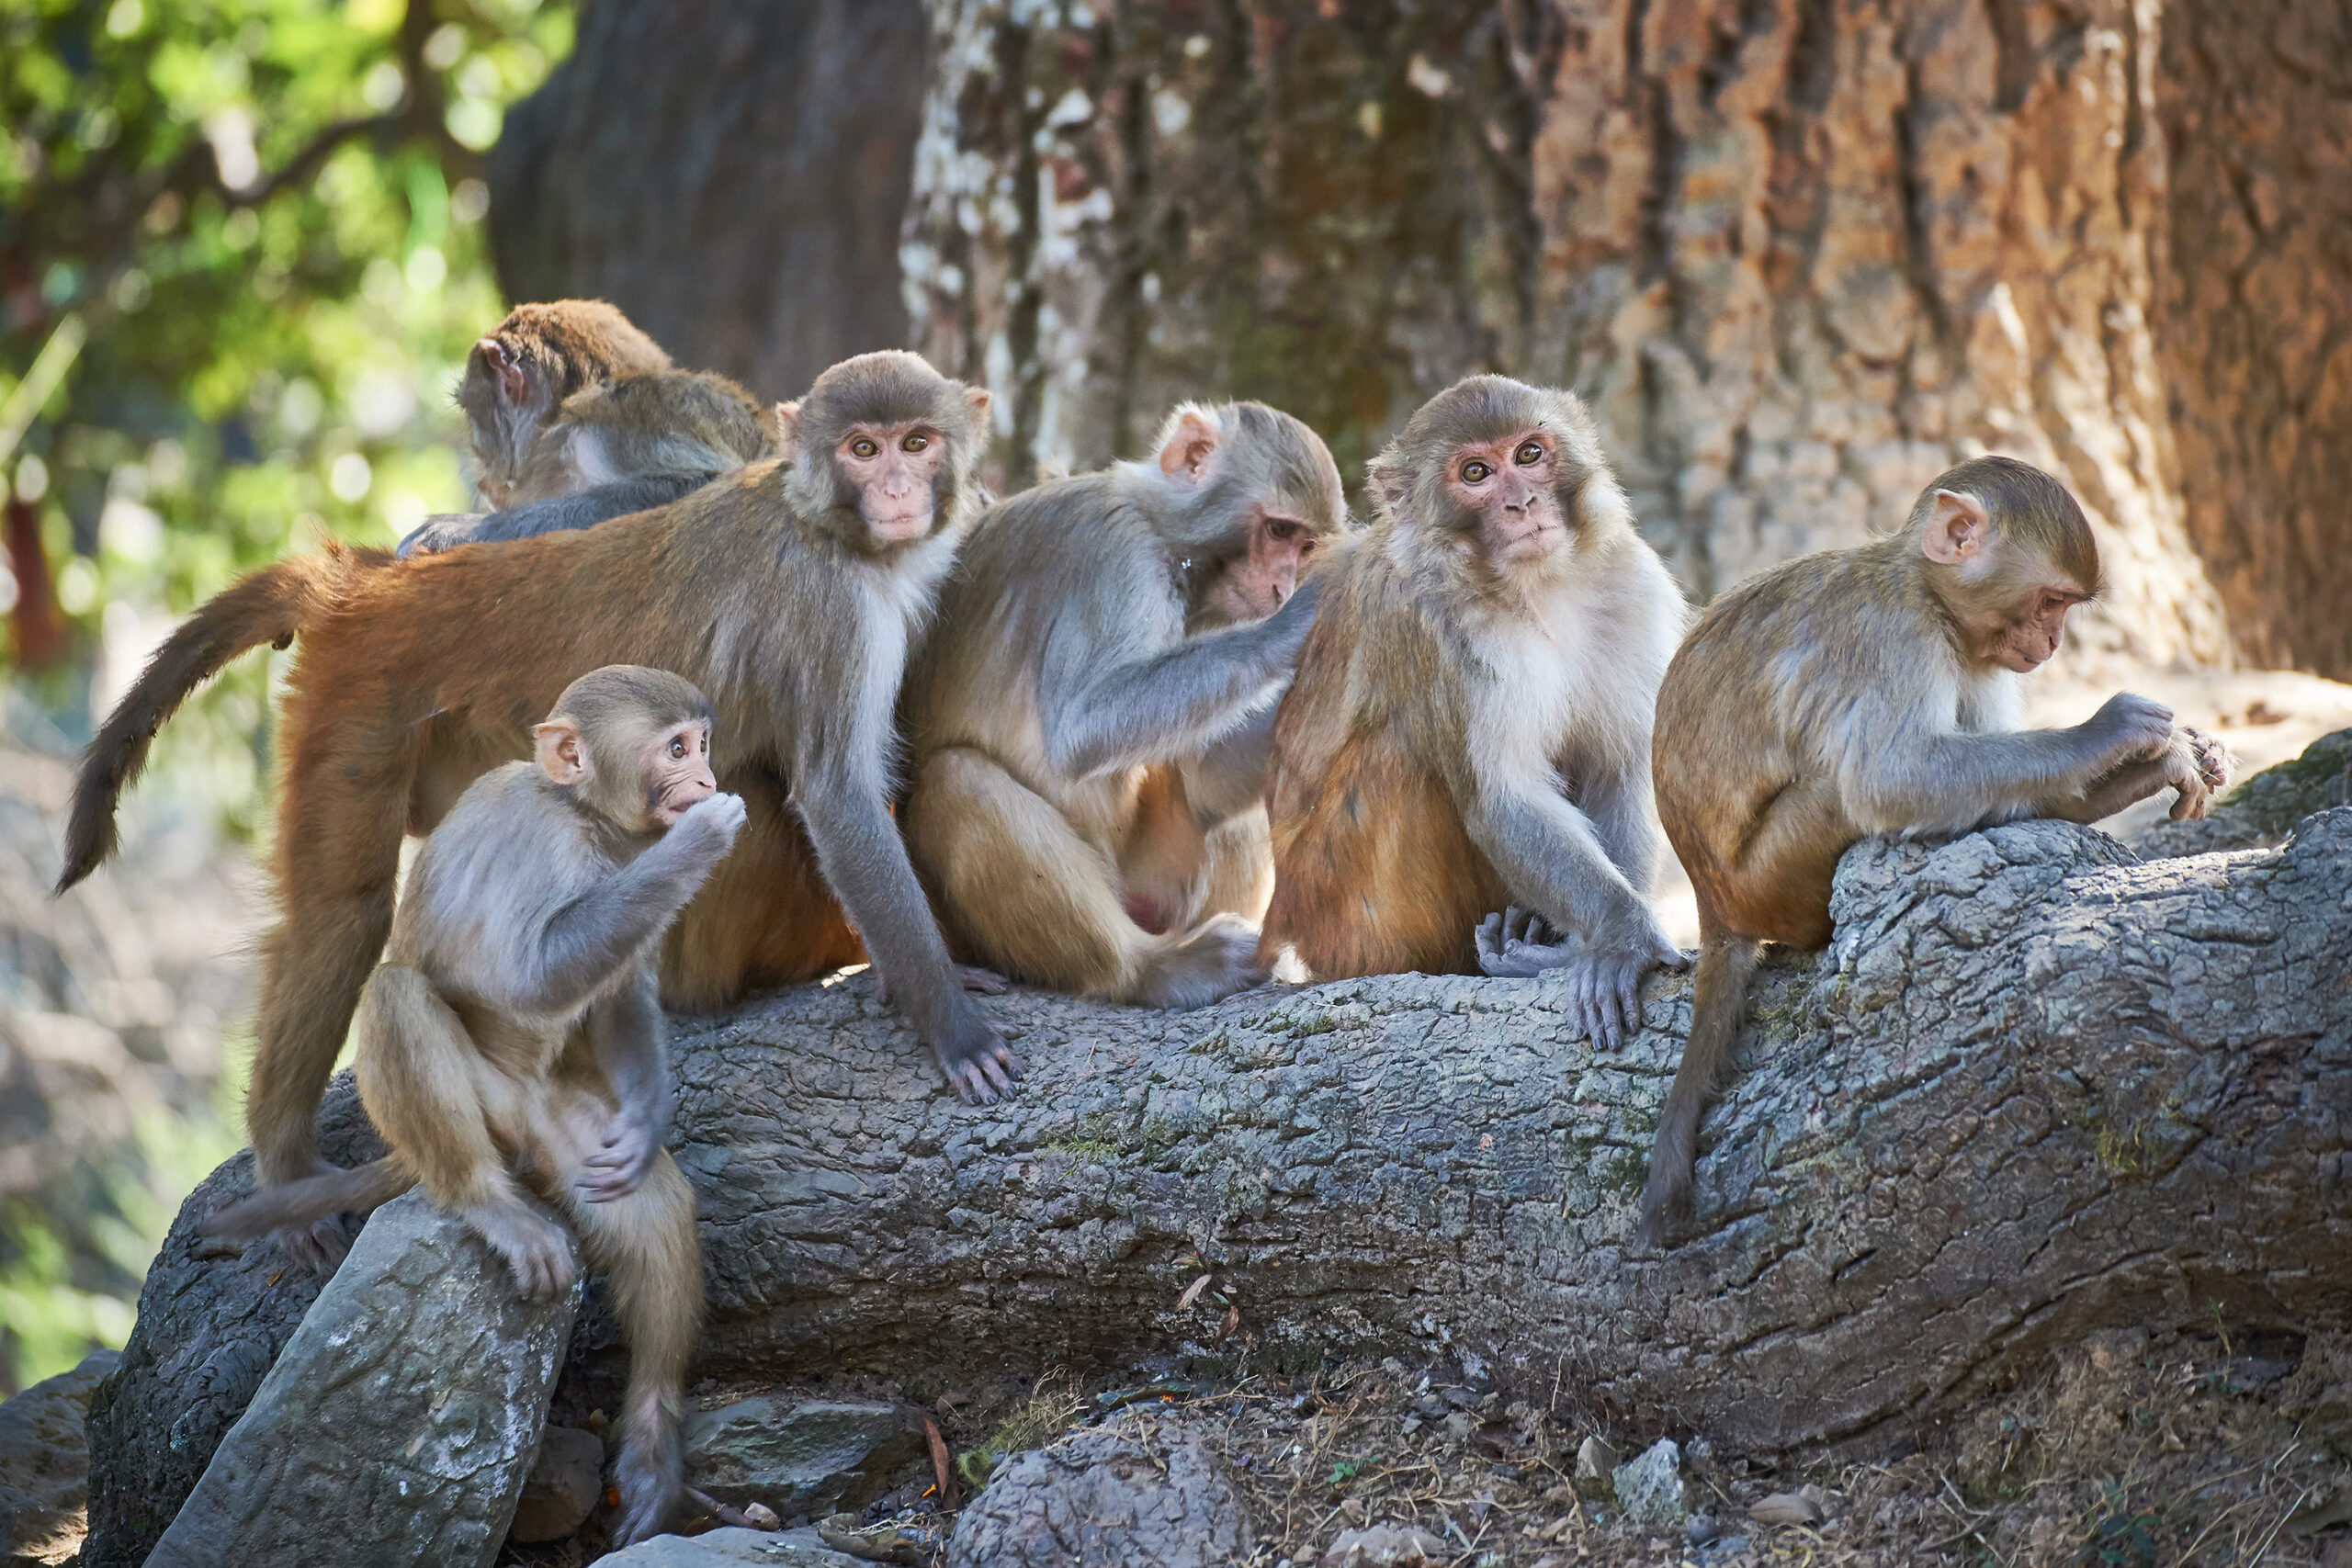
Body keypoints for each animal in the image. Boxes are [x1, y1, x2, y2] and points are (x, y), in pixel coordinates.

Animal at [203, 665, 739, 1547]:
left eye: (700, 742)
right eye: (675, 748)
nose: (704, 776)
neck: (582, 811)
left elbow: (618, 996)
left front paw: (645, 1119)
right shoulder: (542, 839)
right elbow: (532, 975)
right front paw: (700, 842)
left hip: (556, 1122)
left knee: (654, 1206)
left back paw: (650, 1449)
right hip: (480, 1112)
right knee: (399, 995)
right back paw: (486, 1201)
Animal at [897, 401, 1346, 1008]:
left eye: (1305, 546)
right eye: (1279, 530)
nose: (1282, 588)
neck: (1166, 536)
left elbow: (1204, 781)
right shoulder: (1115, 554)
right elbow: (1082, 726)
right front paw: (1296, 621)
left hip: (1152, 883)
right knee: (959, 778)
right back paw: (1149, 970)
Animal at [1253, 374, 1688, 1053]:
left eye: (1530, 454)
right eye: (1476, 472)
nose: (1523, 503)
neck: (1534, 586)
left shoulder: (1632, 585)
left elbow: (1617, 769)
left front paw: (1600, 939)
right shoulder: (1433, 624)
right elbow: (1502, 799)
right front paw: (1624, 935)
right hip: (1345, 914)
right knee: (1399, 755)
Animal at [1637, 454, 2234, 1243]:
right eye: (2052, 600)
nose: (2052, 644)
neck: (1925, 587)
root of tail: (1714, 905)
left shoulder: (1974, 655)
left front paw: (2162, 763)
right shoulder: (1896, 636)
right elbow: (1892, 778)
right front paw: (2108, 733)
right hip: (1774, 875)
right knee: (1845, 785)